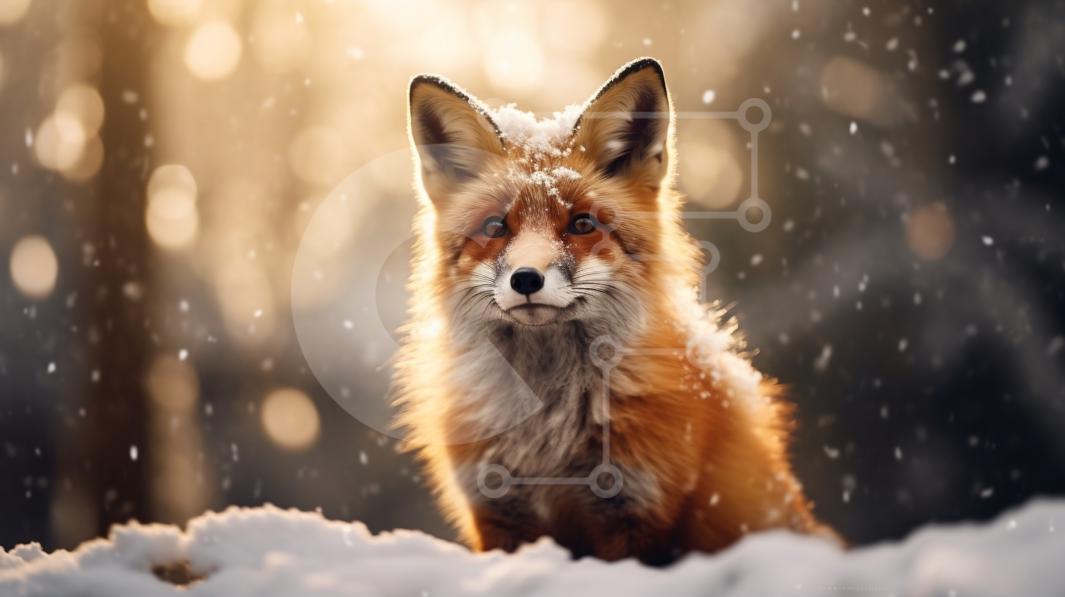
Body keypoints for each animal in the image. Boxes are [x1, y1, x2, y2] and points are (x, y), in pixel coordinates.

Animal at [394, 57, 837, 565]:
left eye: (582, 224)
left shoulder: (636, 507)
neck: (550, 428)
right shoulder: (498, 511)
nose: (526, 279)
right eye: (495, 227)